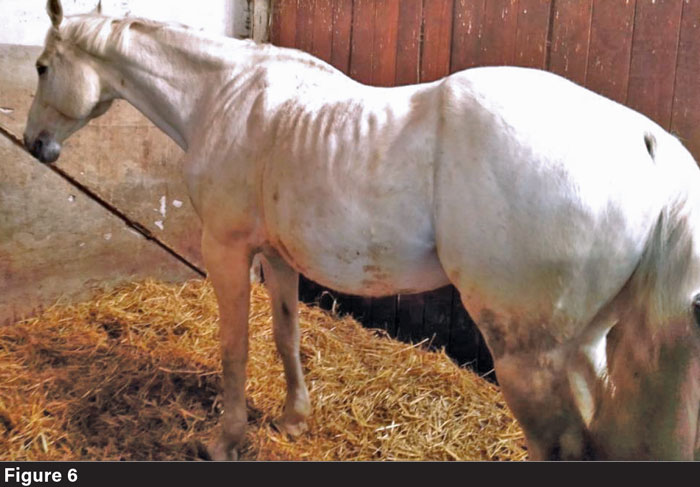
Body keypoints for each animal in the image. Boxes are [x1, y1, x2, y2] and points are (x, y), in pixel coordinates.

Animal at [23, 0, 700, 460]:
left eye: (41, 66)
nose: (35, 145)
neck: (228, 98)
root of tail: (648, 142)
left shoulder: (227, 251)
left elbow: (234, 348)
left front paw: (226, 441)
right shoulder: (278, 255)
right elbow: (286, 336)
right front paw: (293, 420)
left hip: (529, 354)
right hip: (585, 345)